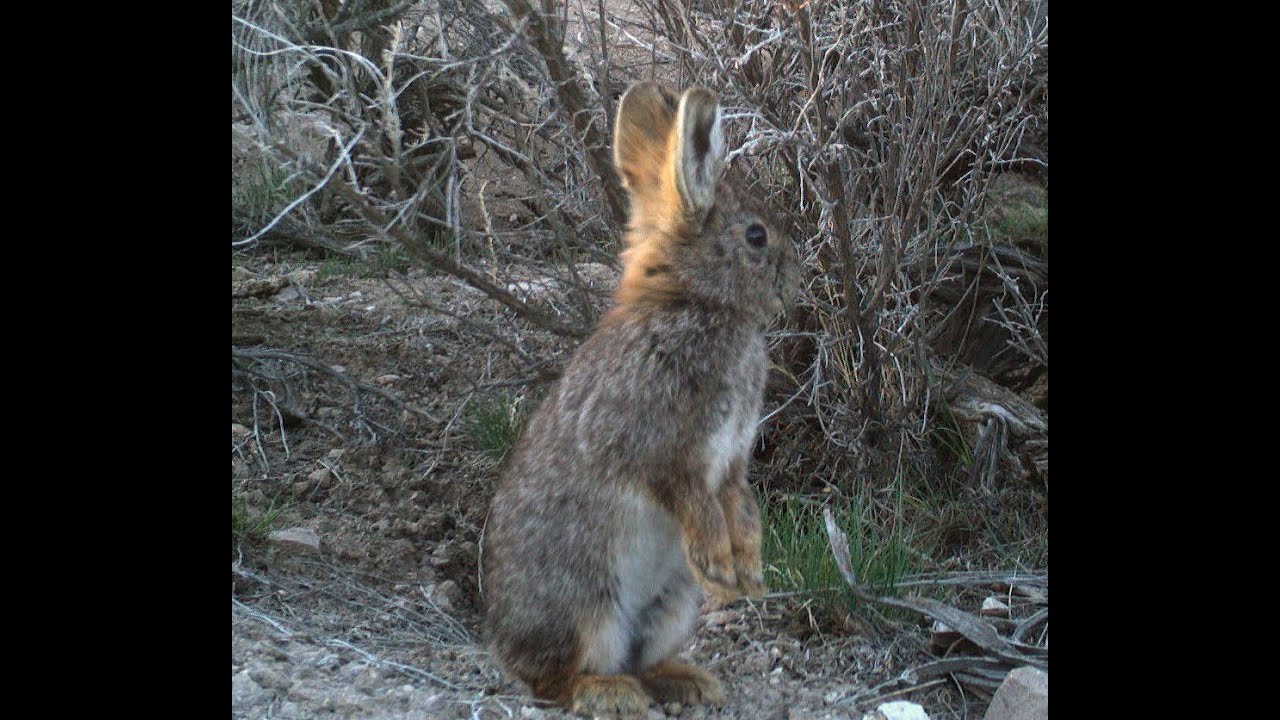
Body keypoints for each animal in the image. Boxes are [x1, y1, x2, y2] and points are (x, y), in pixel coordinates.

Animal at [482, 81, 801, 717]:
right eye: (755, 236)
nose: (797, 279)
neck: (694, 303)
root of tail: (502, 644)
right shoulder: (662, 453)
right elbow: (695, 503)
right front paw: (721, 566)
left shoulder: (731, 462)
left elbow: (741, 507)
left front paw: (748, 575)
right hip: (587, 605)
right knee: (556, 679)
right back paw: (608, 692)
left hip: (671, 607)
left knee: (643, 658)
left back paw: (690, 681)